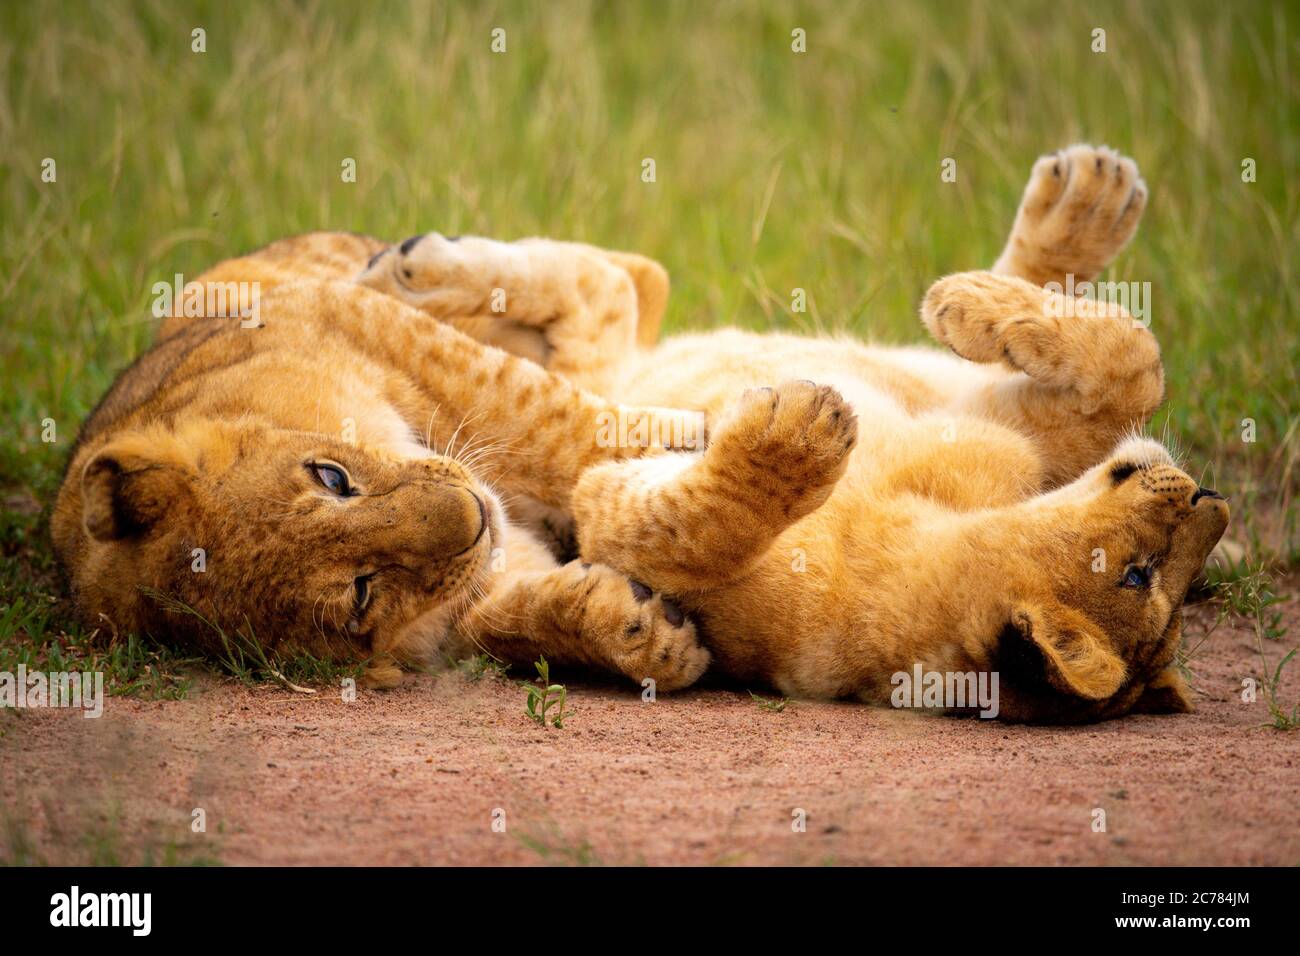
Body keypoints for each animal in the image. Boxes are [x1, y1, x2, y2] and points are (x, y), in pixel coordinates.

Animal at [53, 145, 1227, 721]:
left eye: (332, 476)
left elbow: (1126, 361)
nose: (1207, 500)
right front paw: (641, 616)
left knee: (614, 282)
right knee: (609, 309)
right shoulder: (571, 531)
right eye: (357, 597)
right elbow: (632, 522)